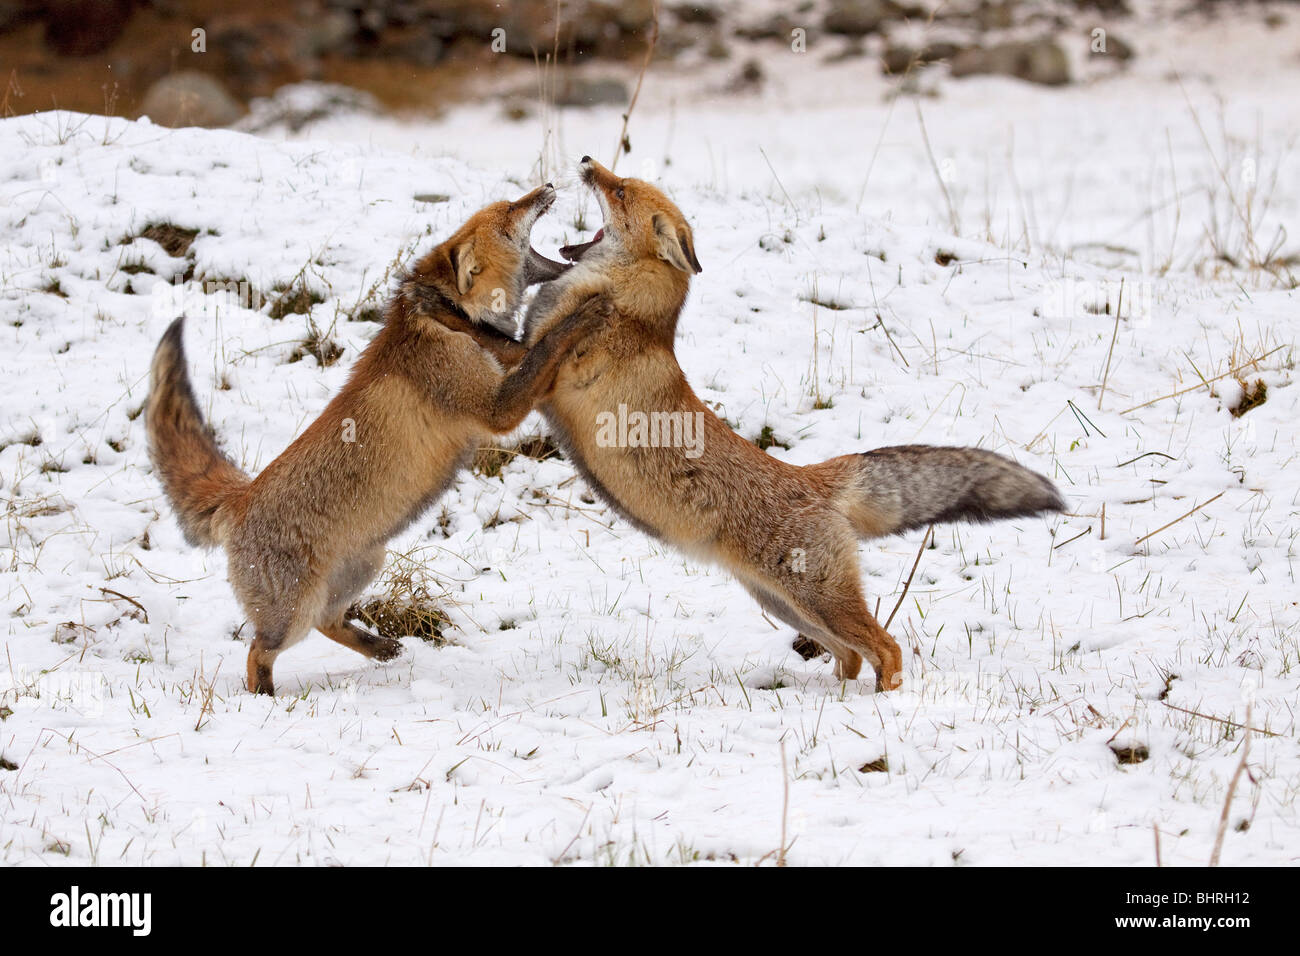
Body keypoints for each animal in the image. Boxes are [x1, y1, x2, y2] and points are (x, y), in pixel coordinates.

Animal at [146, 184, 609, 695]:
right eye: (510, 213)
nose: (546, 186)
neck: (451, 322)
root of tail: (240, 498)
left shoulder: (501, 368)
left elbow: (522, 347)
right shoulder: (495, 409)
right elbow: (544, 347)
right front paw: (583, 315)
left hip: (361, 568)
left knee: (328, 623)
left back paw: (383, 649)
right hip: (292, 613)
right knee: (258, 650)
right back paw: (265, 699)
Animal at [507, 157, 1064, 692]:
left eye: (619, 190)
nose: (585, 159)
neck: (632, 309)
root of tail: (813, 477)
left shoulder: (546, 374)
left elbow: (530, 350)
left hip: (814, 598)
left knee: (886, 649)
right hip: (782, 602)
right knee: (851, 657)